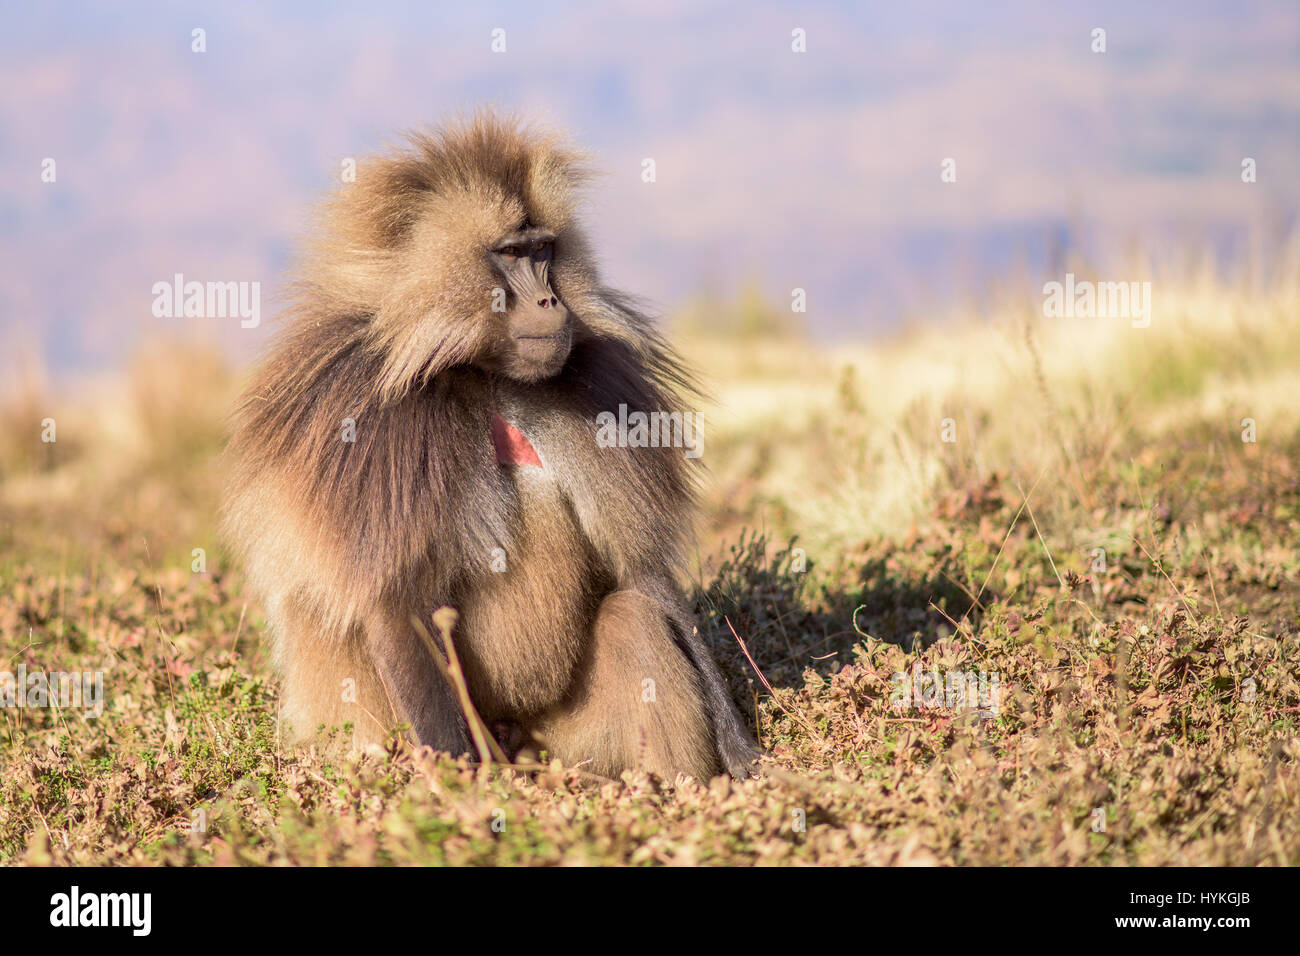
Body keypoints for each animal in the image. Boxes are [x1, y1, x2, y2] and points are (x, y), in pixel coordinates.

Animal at [221, 111, 759, 781]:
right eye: (509, 254)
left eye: (544, 250)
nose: (550, 300)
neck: (483, 374)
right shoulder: (375, 426)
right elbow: (396, 600)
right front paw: (462, 786)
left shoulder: (601, 390)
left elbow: (641, 570)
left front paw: (743, 753)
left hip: (563, 742)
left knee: (632, 619)